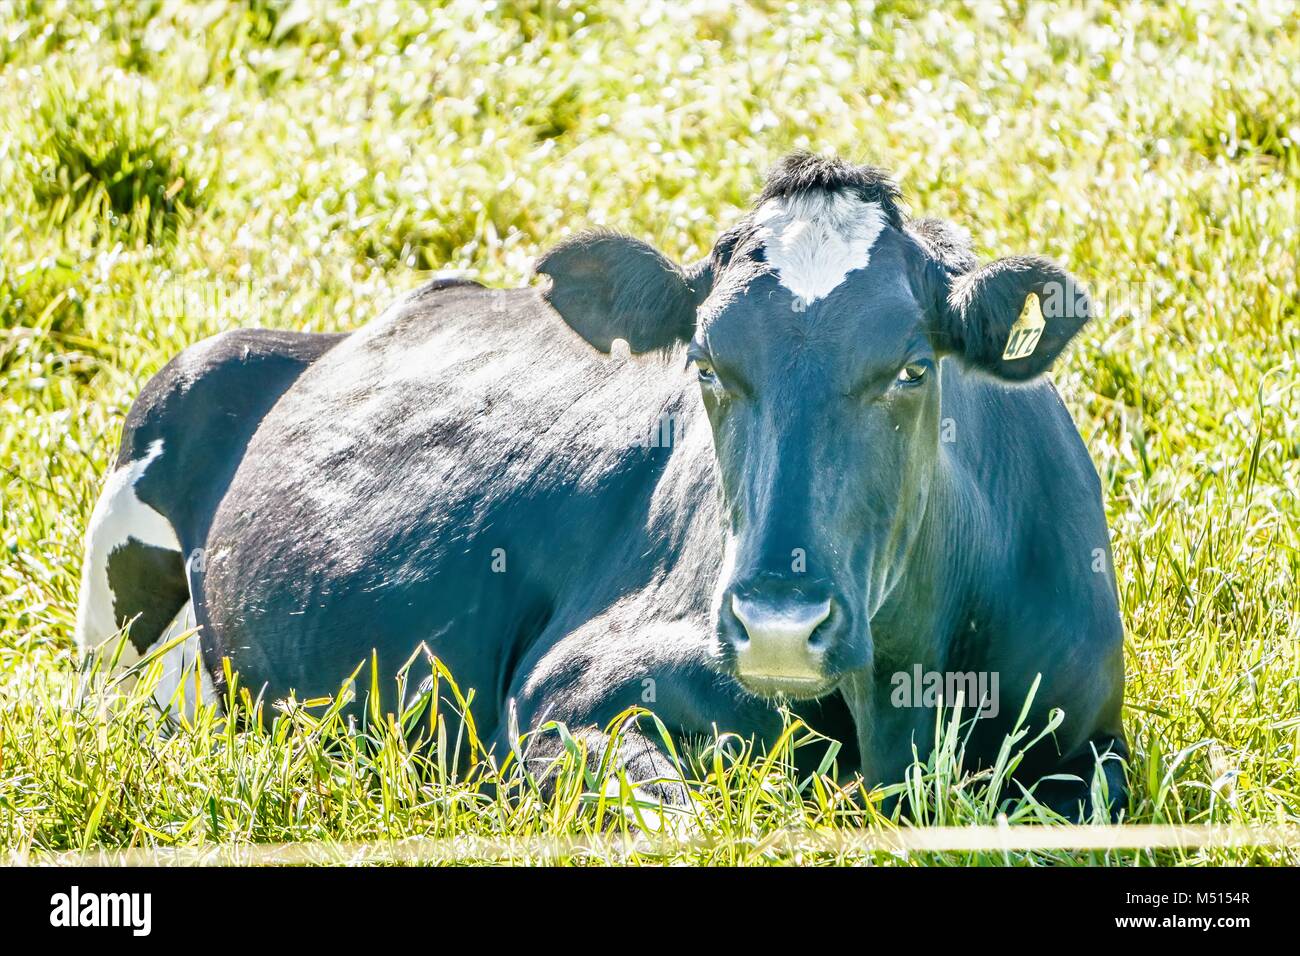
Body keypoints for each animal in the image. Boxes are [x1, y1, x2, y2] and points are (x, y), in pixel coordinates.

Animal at [75, 153, 1127, 819]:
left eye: (912, 368)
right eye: (706, 363)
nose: (779, 624)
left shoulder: (1098, 744)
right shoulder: (562, 697)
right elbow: (678, 821)